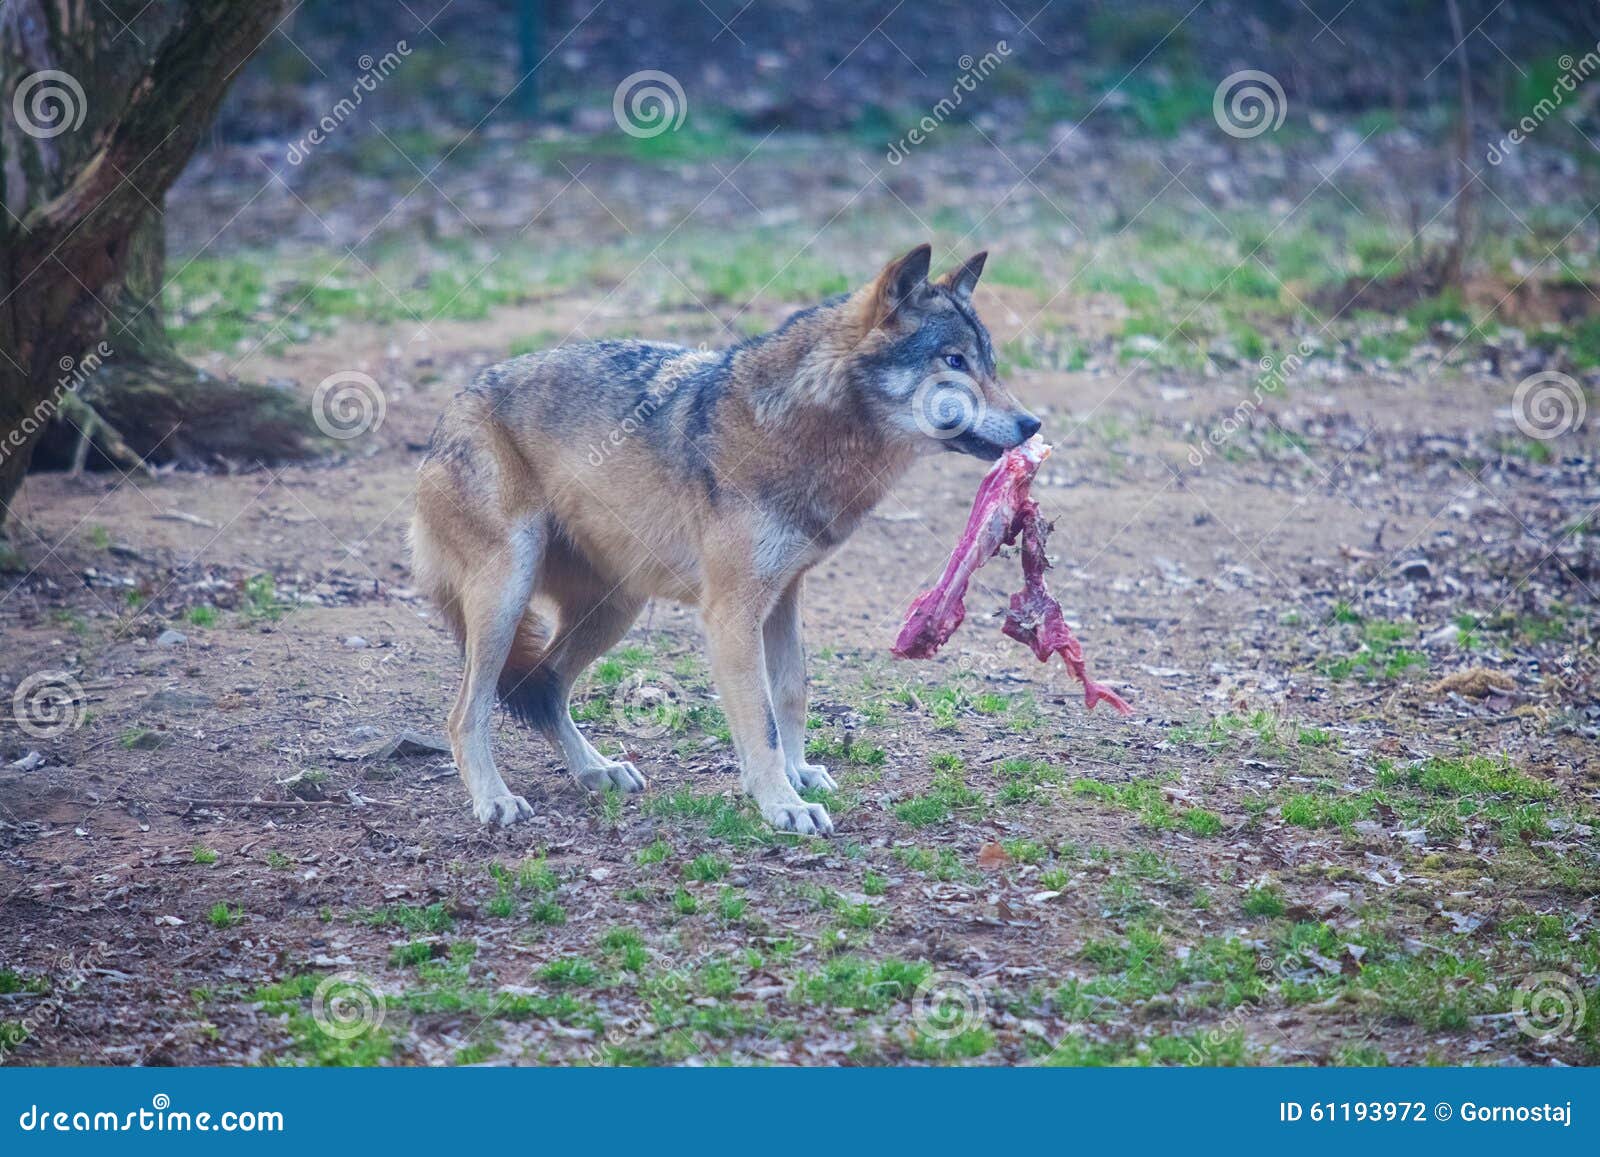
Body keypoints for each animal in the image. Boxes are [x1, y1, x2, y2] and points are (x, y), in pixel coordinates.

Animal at [410, 244, 1039, 835]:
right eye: (954, 361)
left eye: (990, 363)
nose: (1032, 423)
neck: (802, 429)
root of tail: (448, 413)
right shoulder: (732, 611)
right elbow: (759, 717)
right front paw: (782, 805)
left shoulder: (785, 595)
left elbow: (791, 692)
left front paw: (797, 774)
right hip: (508, 596)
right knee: (467, 713)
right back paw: (495, 799)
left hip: (616, 607)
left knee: (545, 687)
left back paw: (597, 770)